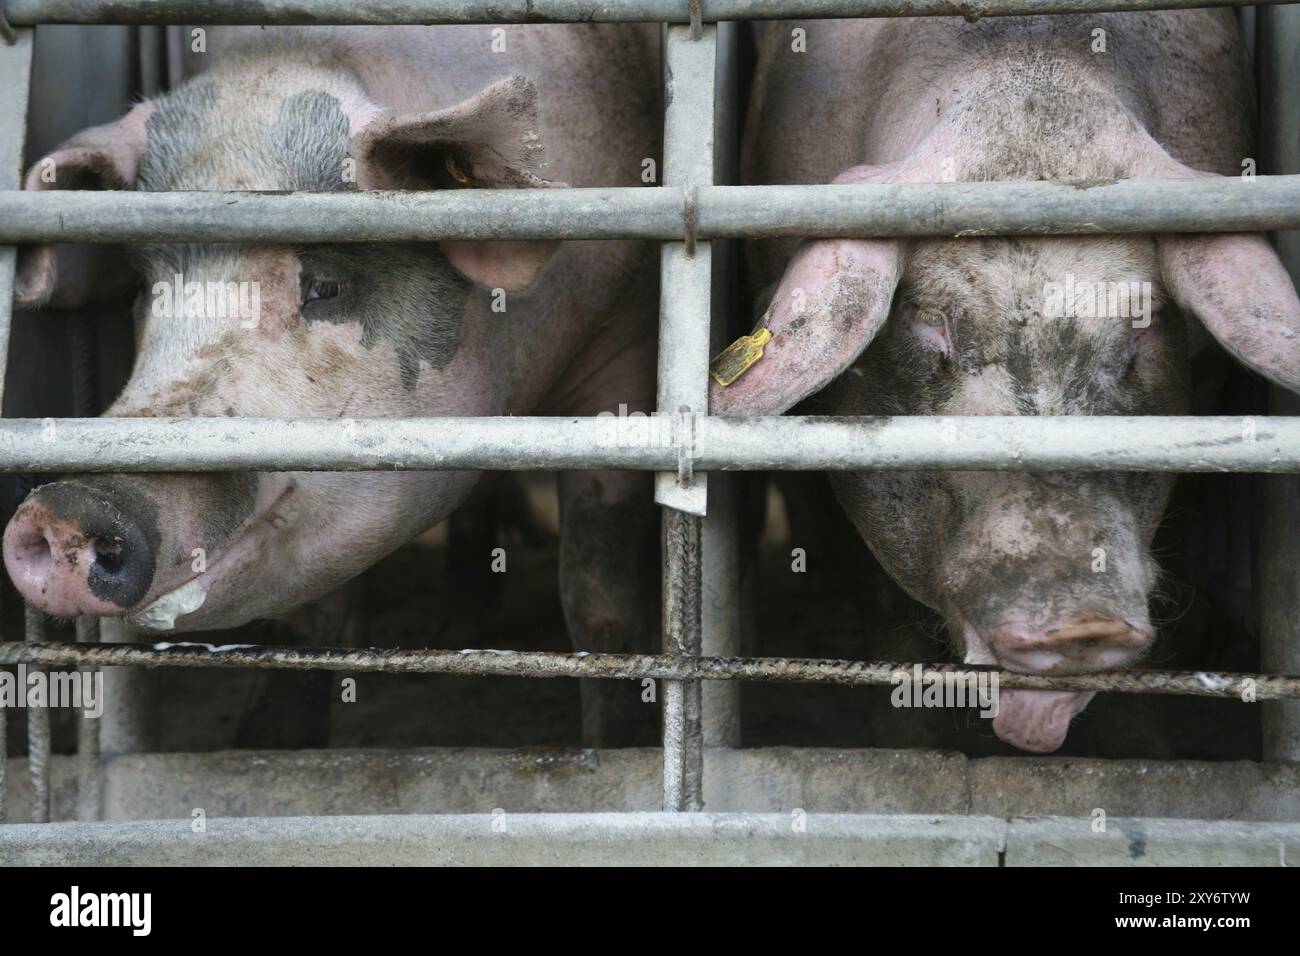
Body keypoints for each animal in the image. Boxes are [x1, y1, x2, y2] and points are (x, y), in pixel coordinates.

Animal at [4, 25, 663, 745]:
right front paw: (263, 745)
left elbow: (596, 587)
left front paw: (620, 745)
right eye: (148, 290)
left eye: (327, 287)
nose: (67, 505)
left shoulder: (626, 344)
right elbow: (306, 620)